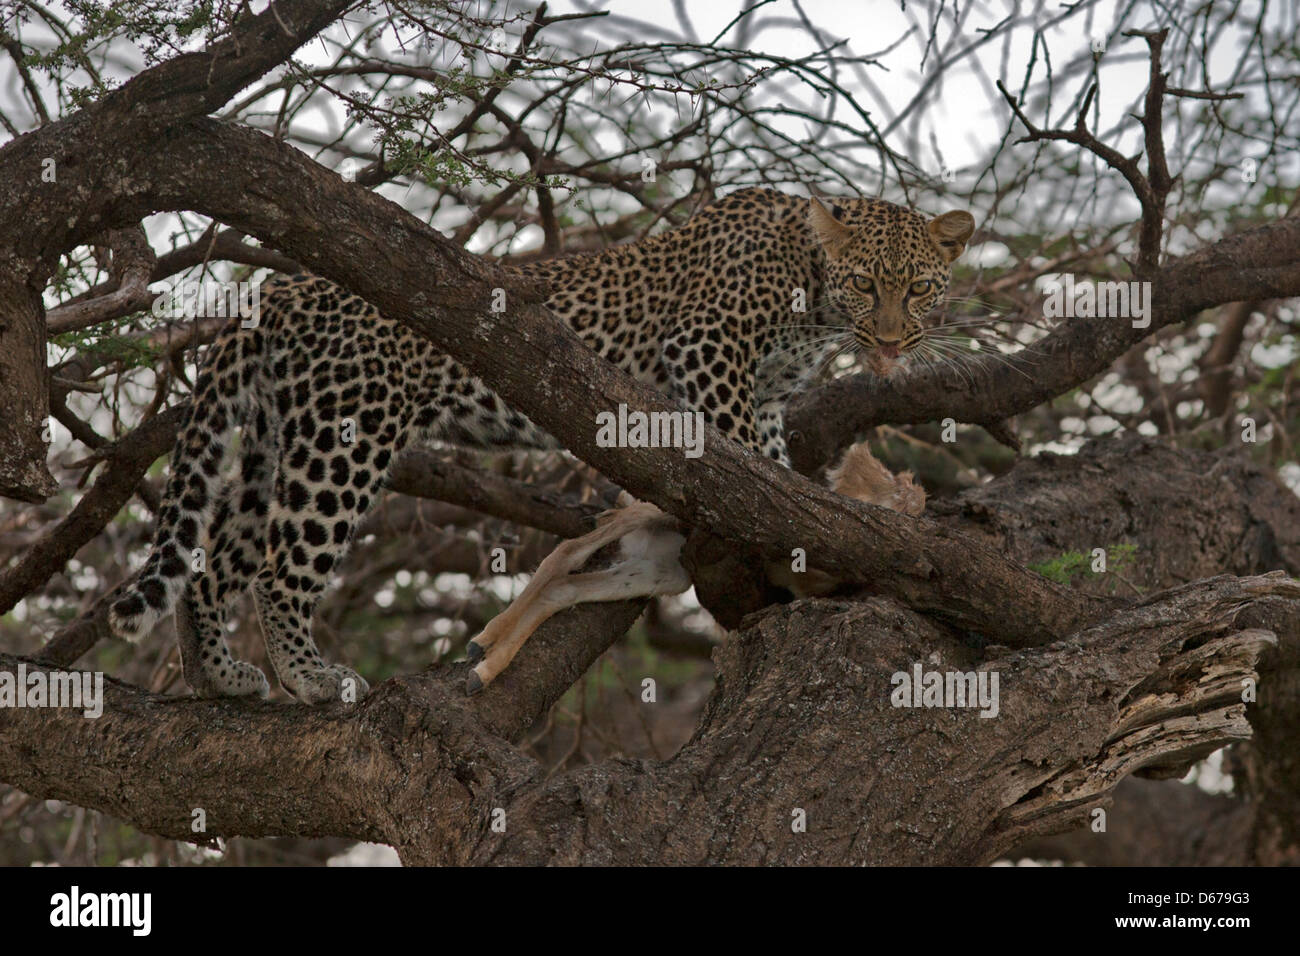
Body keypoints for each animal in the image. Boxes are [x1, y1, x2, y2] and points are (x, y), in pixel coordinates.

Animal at [108, 187, 975, 704]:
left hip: (274, 437)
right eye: (865, 283)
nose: (891, 343)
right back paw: (309, 675)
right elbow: (738, 455)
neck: (816, 297)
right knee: (282, 566)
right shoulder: (709, 348)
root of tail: (281, 289)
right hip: (343, 437)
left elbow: (771, 470)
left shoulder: (767, 395)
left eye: (919, 287)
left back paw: (220, 675)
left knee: (213, 561)